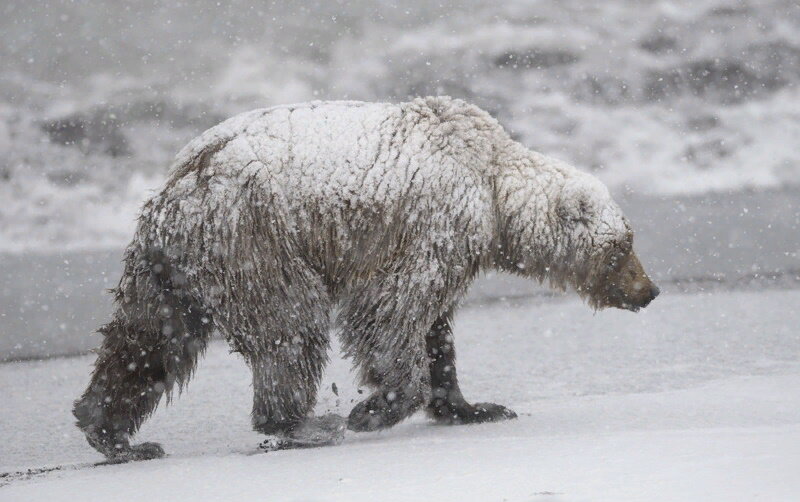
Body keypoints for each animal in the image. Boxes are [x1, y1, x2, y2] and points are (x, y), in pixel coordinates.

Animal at [73, 96, 656, 460]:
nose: (648, 291)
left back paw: (113, 434)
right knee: (291, 327)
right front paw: (371, 408)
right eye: (621, 248)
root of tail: (178, 188)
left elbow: (435, 329)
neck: (492, 192)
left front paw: (476, 406)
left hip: (169, 268)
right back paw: (303, 423)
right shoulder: (432, 224)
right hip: (256, 238)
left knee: (147, 341)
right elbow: (391, 310)